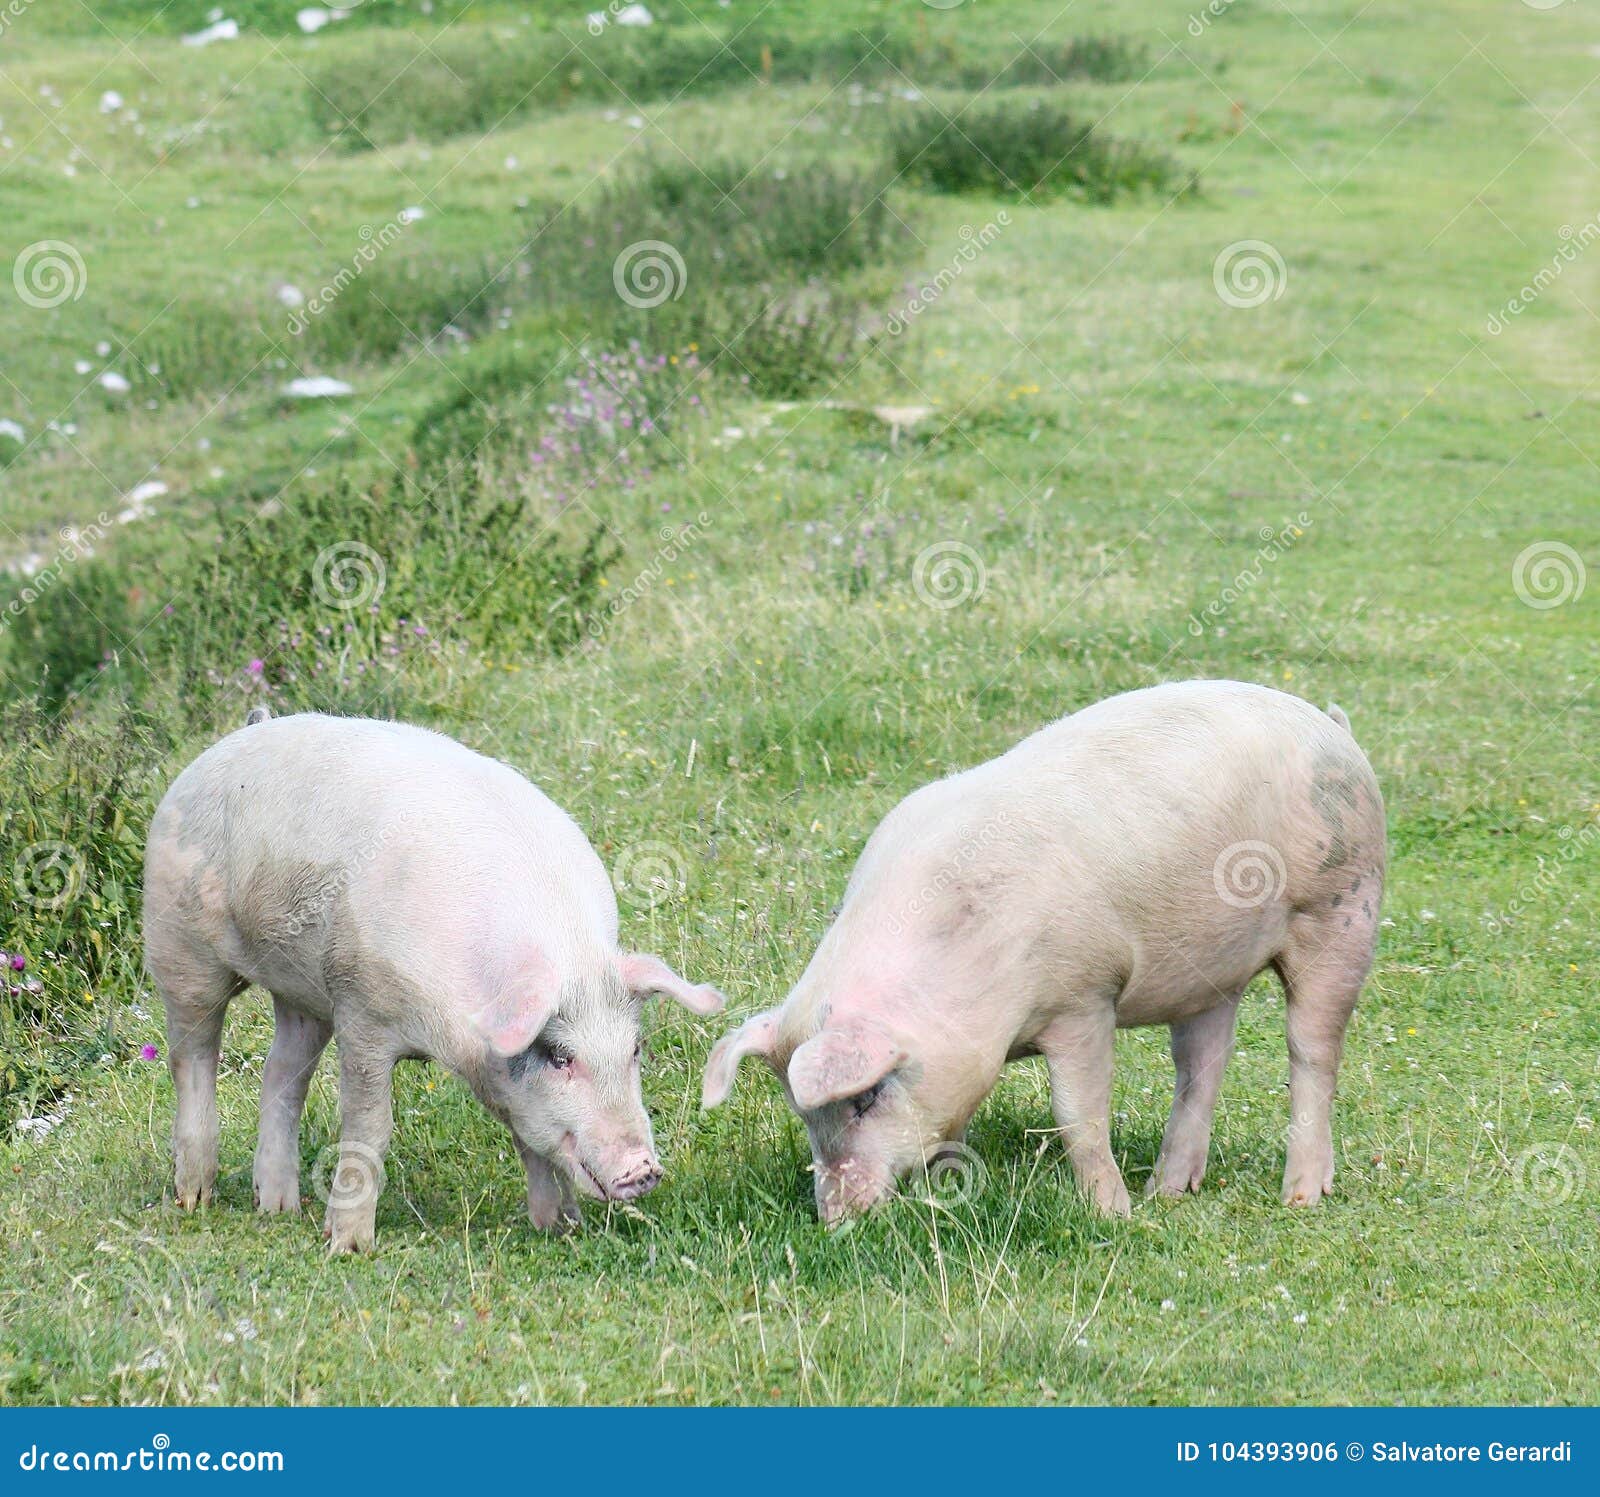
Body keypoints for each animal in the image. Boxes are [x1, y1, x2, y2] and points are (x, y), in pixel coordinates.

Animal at [143, 710, 722, 1252]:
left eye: (635, 1050)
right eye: (561, 1057)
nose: (644, 1169)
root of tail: (242, 733)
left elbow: (529, 1133)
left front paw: (559, 1228)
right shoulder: (361, 1005)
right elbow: (370, 1128)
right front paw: (348, 1246)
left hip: (302, 993)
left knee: (280, 1074)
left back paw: (278, 1208)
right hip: (180, 946)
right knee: (192, 1057)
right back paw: (196, 1198)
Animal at [702, 680, 1385, 1223]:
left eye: (866, 1098)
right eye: (802, 1115)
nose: (834, 1218)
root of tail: (1332, 725)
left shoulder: (1085, 996)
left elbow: (1077, 1114)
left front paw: (1112, 1215)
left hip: (1343, 907)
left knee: (1312, 1050)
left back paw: (1299, 1197)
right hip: (1209, 971)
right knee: (1202, 1064)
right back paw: (1168, 1191)